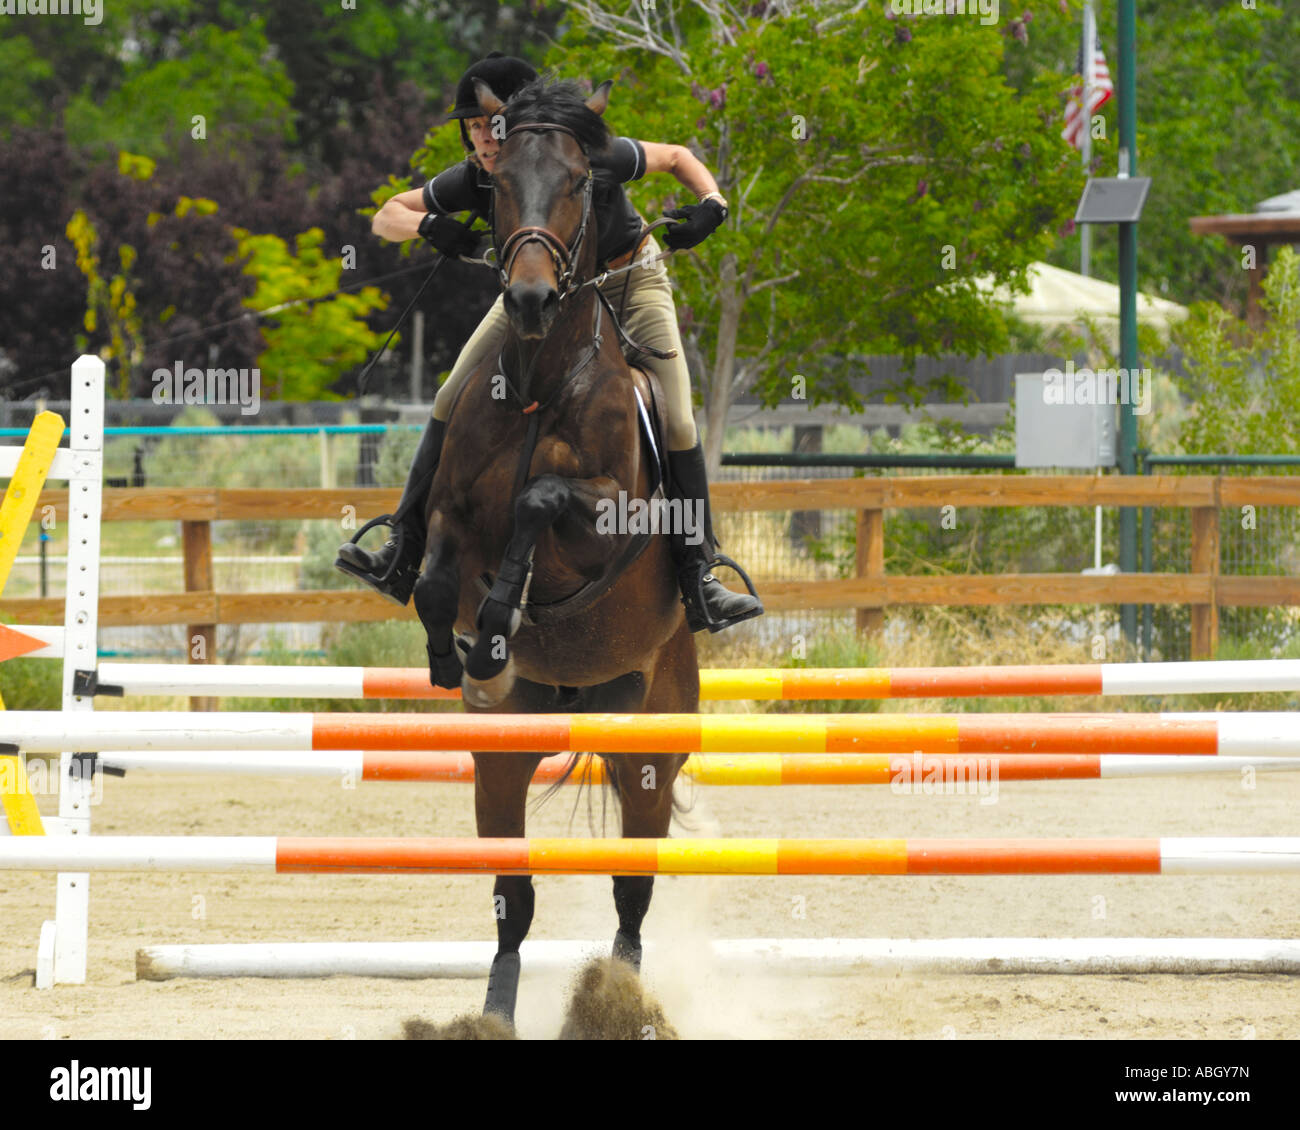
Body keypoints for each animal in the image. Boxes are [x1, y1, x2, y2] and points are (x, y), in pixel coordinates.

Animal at [409, 78, 699, 1026]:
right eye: (494, 186)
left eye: (580, 183)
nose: (530, 300)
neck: (540, 383)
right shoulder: (452, 515)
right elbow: (435, 577)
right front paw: (466, 650)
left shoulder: (609, 520)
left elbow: (540, 503)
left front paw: (504, 612)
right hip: (502, 763)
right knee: (515, 896)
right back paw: (494, 1014)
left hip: (649, 752)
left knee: (631, 893)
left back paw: (621, 998)